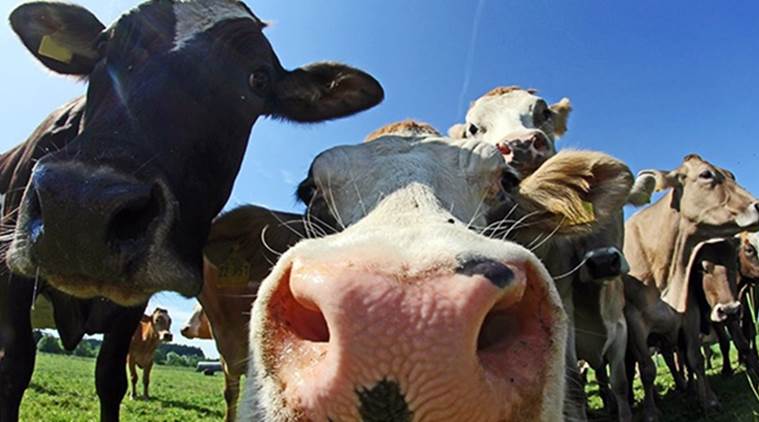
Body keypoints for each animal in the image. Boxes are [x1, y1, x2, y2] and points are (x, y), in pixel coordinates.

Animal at [0, 1, 383, 420]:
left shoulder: (132, 307)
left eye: (258, 79)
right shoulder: (12, 280)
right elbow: (15, 369)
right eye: (103, 47)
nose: (81, 208)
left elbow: (110, 380)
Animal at [623, 154, 759, 421]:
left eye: (732, 175)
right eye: (706, 175)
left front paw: (708, 401)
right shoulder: (634, 321)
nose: (758, 206)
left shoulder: (690, 312)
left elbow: (695, 358)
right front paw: (651, 413)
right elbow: (647, 369)